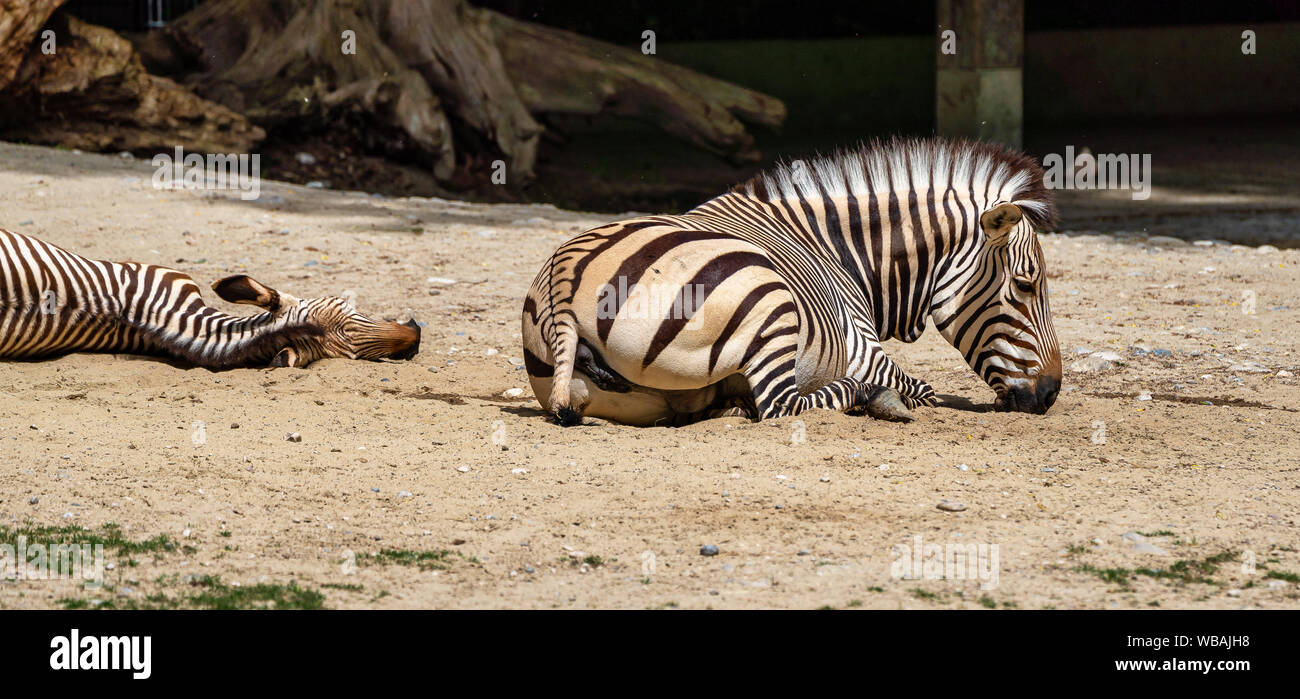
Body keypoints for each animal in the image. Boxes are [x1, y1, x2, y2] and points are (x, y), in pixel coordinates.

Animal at [522, 137, 1062, 426]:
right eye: (1027, 285)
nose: (1052, 394)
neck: (839, 250)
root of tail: (564, 282)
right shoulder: (863, 349)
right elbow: (926, 389)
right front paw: (899, 397)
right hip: (771, 301)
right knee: (782, 405)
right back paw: (872, 399)